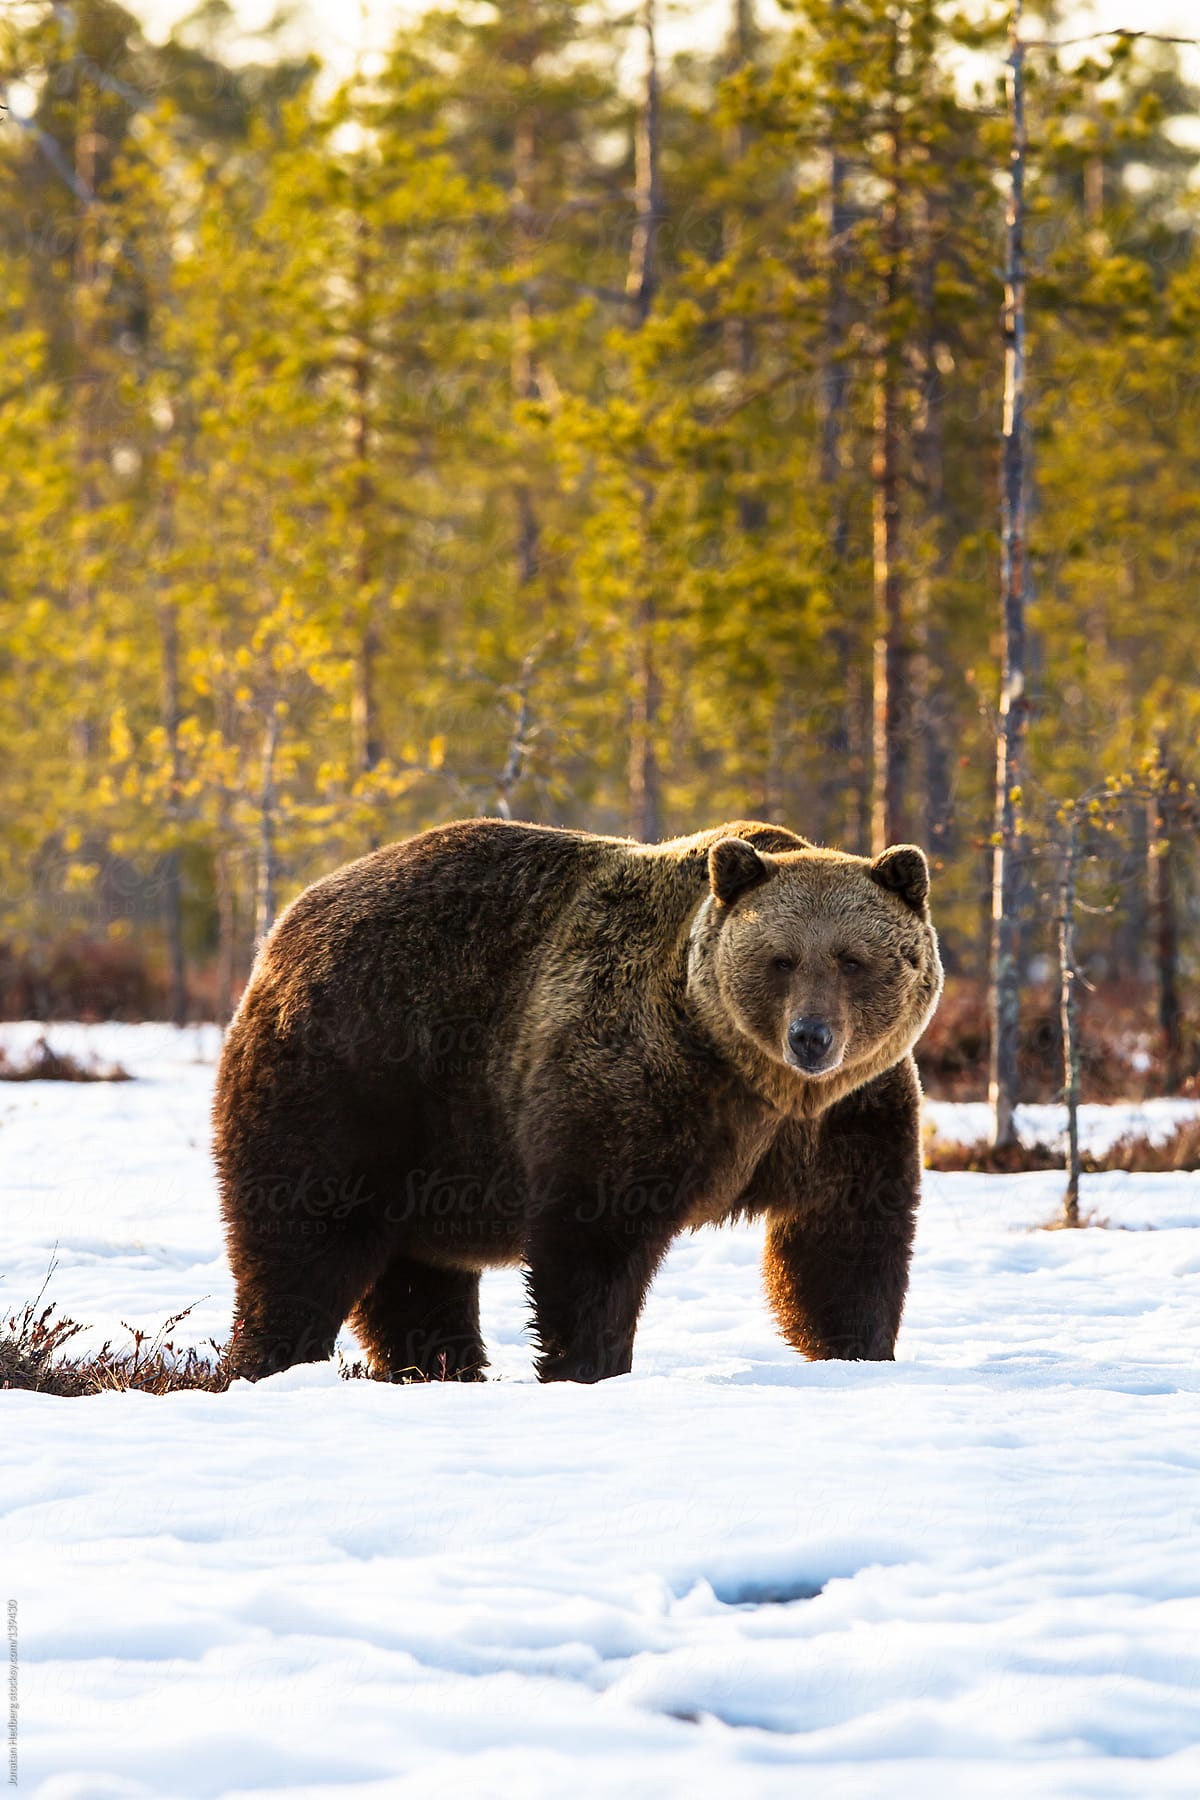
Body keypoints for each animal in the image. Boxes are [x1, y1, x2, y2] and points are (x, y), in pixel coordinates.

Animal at [213, 818, 943, 1384]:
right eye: (781, 959)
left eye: (852, 959)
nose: (811, 1037)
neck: (757, 1082)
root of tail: (286, 925)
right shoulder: (634, 1084)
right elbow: (595, 1239)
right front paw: (588, 1364)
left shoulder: (852, 1112)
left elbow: (847, 1237)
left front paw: (859, 1352)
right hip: (357, 1074)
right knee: (306, 1234)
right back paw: (269, 1361)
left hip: (435, 1142)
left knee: (418, 1274)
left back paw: (442, 1367)